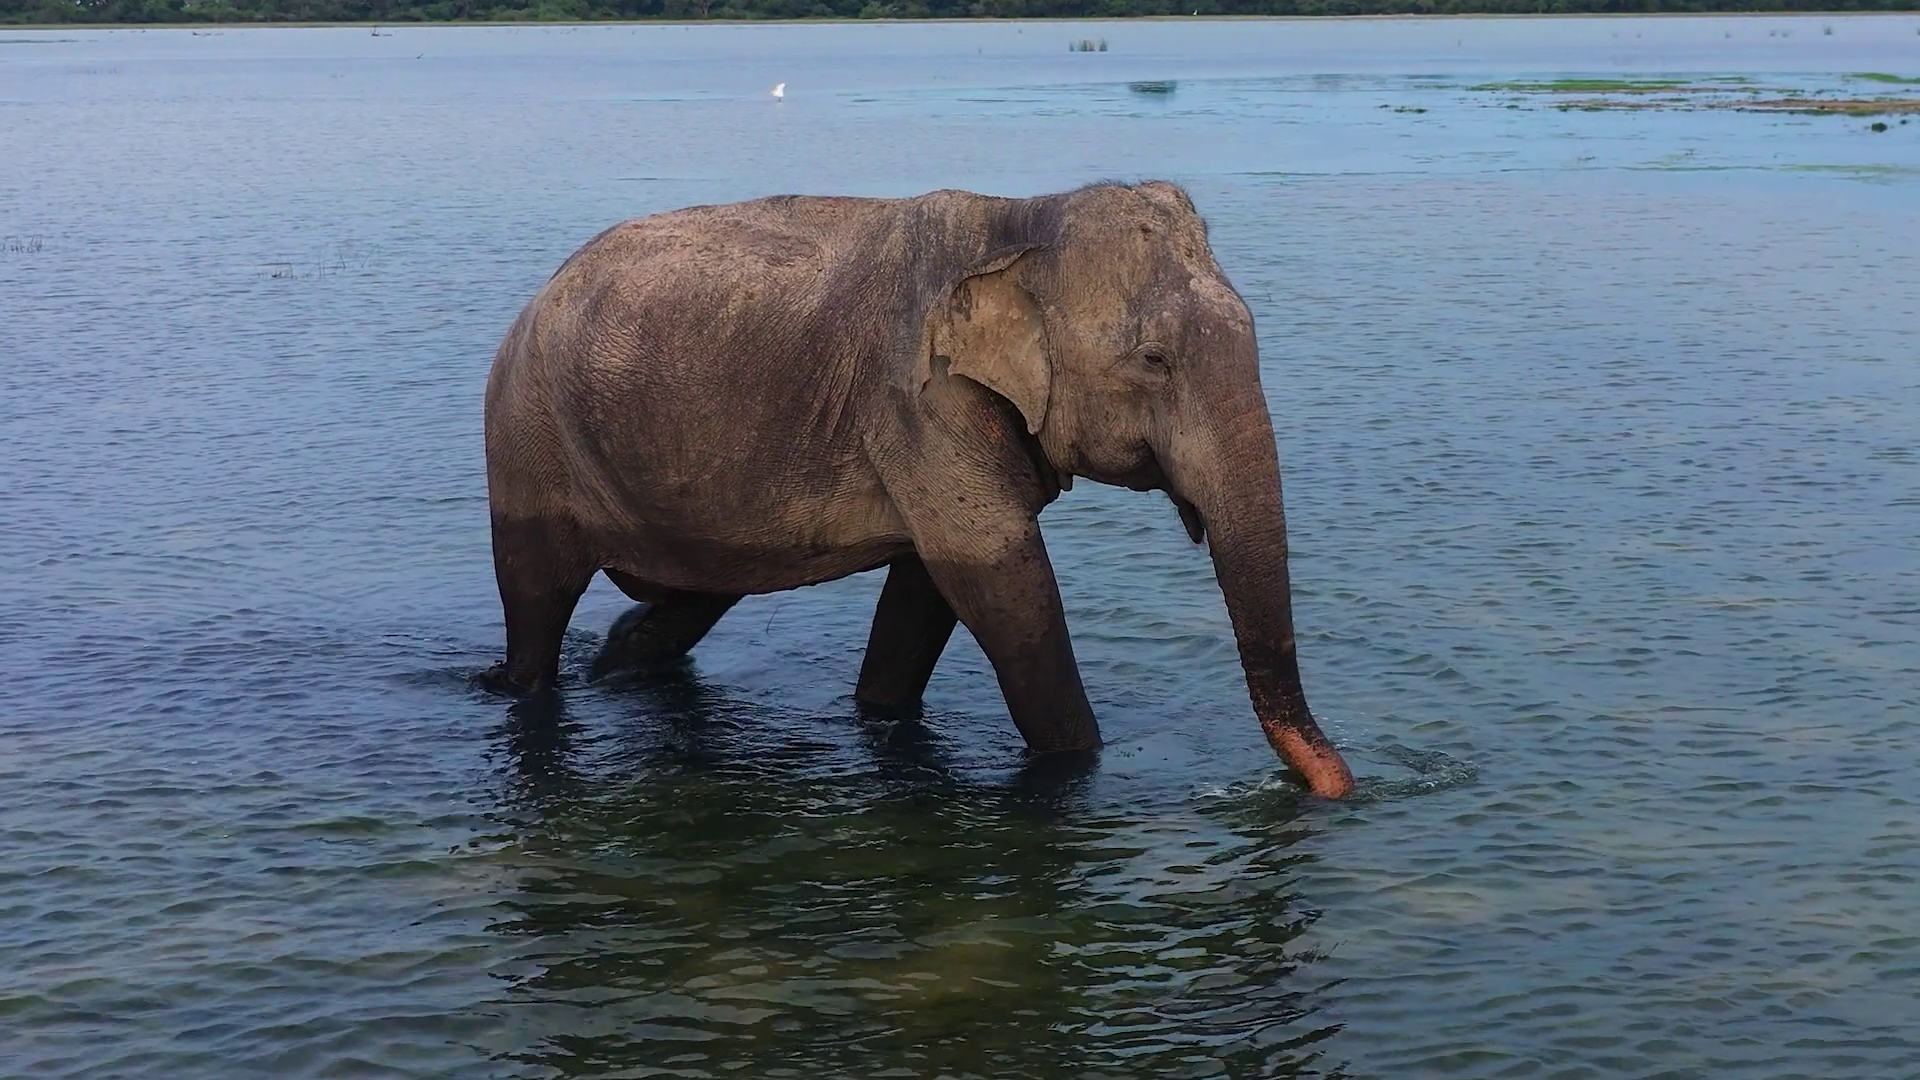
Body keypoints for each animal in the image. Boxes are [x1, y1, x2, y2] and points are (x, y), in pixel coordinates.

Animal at [480, 181, 1355, 798]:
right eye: (1154, 361)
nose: (1334, 791)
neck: (1016, 223)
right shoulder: (919, 402)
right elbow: (1003, 589)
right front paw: (1079, 769)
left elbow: (928, 589)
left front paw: (878, 718)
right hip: (525, 433)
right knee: (537, 597)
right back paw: (518, 684)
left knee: (696, 594)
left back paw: (619, 658)